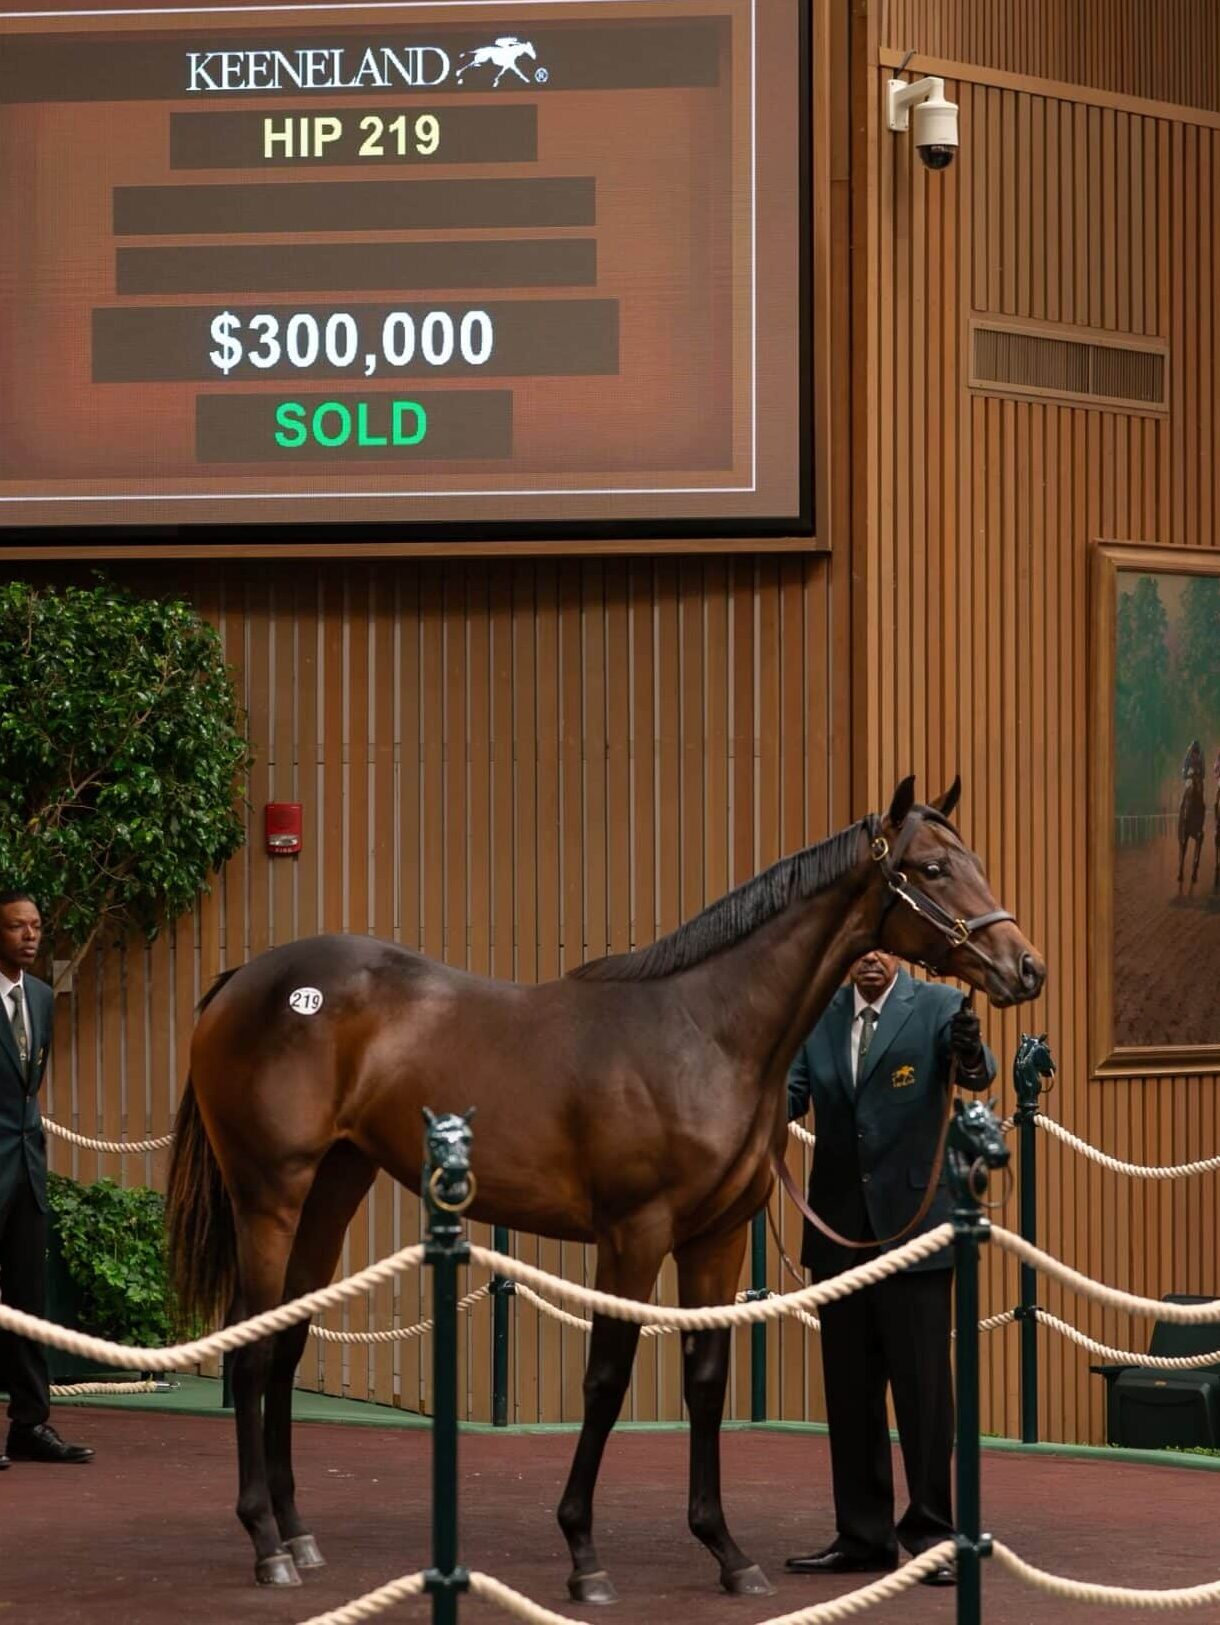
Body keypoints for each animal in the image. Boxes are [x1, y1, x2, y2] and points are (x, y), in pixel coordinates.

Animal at [165, 775, 1045, 1598]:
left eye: (974, 860)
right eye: (932, 868)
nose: (1025, 966)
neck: (705, 1031)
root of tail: (245, 979)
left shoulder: (716, 1238)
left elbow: (705, 1380)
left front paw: (727, 1551)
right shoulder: (634, 1233)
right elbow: (607, 1378)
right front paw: (583, 1553)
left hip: (332, 1188)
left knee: (284, 1340)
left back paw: (297, 1533)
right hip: (270, 1192)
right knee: (249, 1346)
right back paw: (267, 1544)